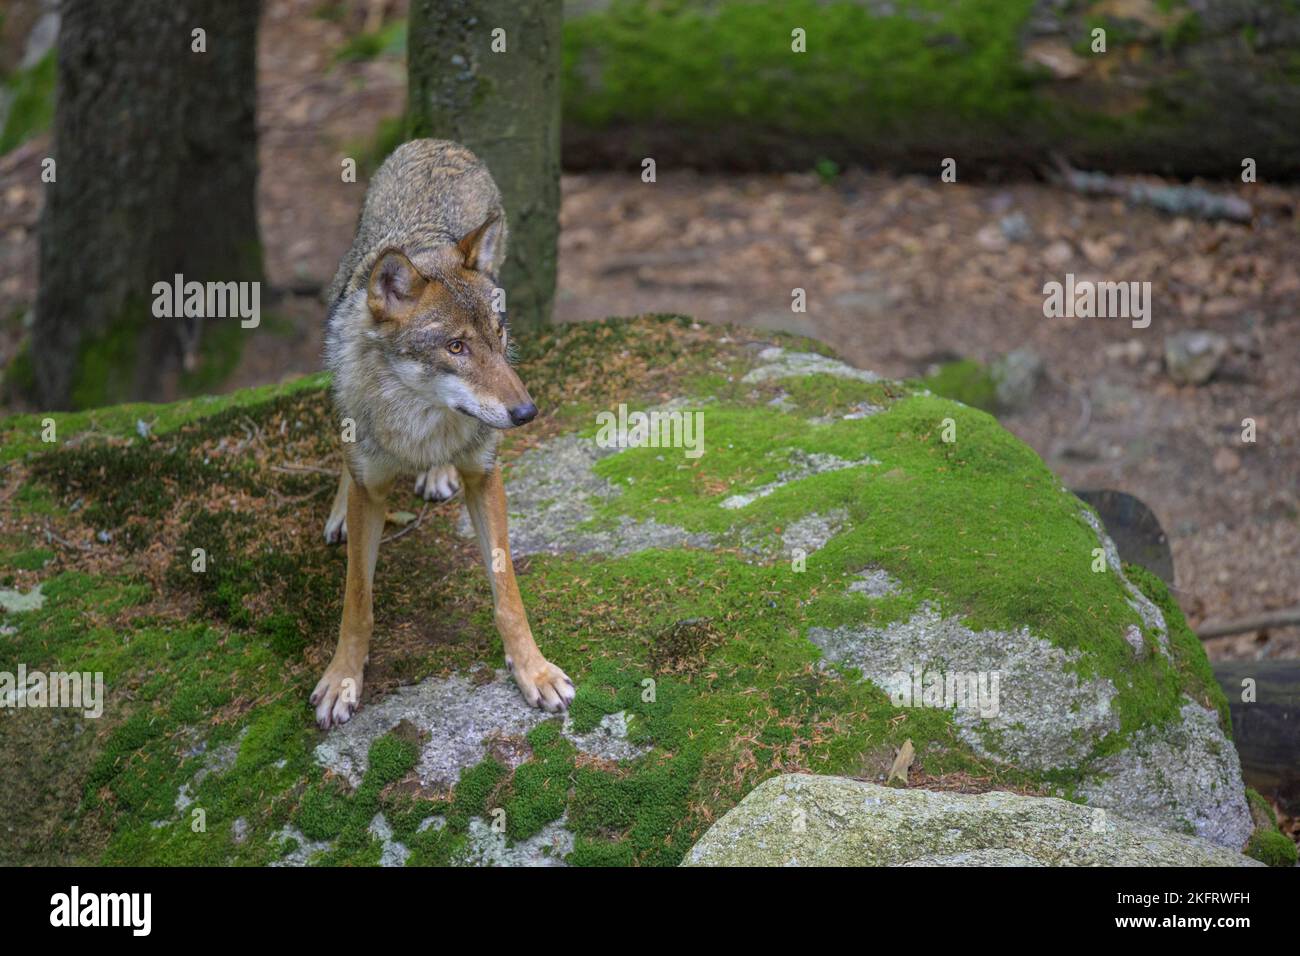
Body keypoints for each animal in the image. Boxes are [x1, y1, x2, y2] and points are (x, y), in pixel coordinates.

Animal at [312, 139, 573, 729]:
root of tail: (435, 143)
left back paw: (435, 475)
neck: (421, 423)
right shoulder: (373, 488)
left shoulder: (485, 475)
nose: (526, 412)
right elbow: (357, 601)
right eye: (456, 347)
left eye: (499, 336)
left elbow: (507, 592)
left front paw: (534, 671)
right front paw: (343, 678)